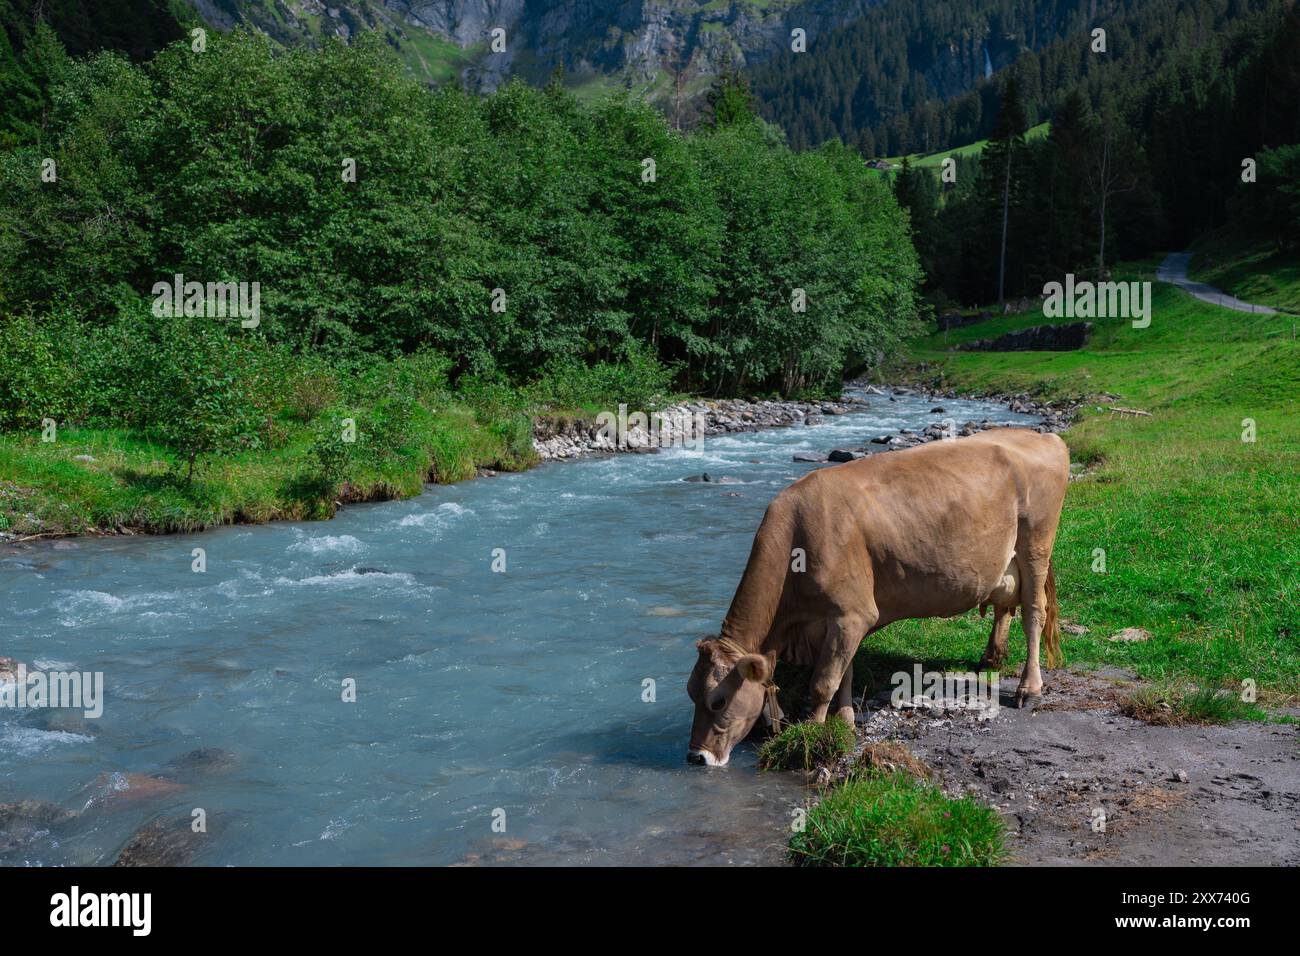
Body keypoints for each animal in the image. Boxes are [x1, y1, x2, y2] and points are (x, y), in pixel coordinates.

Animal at [686, 428, 1068, 766]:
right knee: (1006, 604)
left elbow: (823, 682)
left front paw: (810, 735)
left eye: (718, 701)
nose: (696, 756)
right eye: (691, 693)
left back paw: (1029, 687)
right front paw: (844, 720)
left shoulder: (851, 614)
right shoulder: (841, 620)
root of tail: (1041, 436)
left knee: (1033, 612)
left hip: (1036, 545)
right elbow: (846, 671)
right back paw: (992, 657)